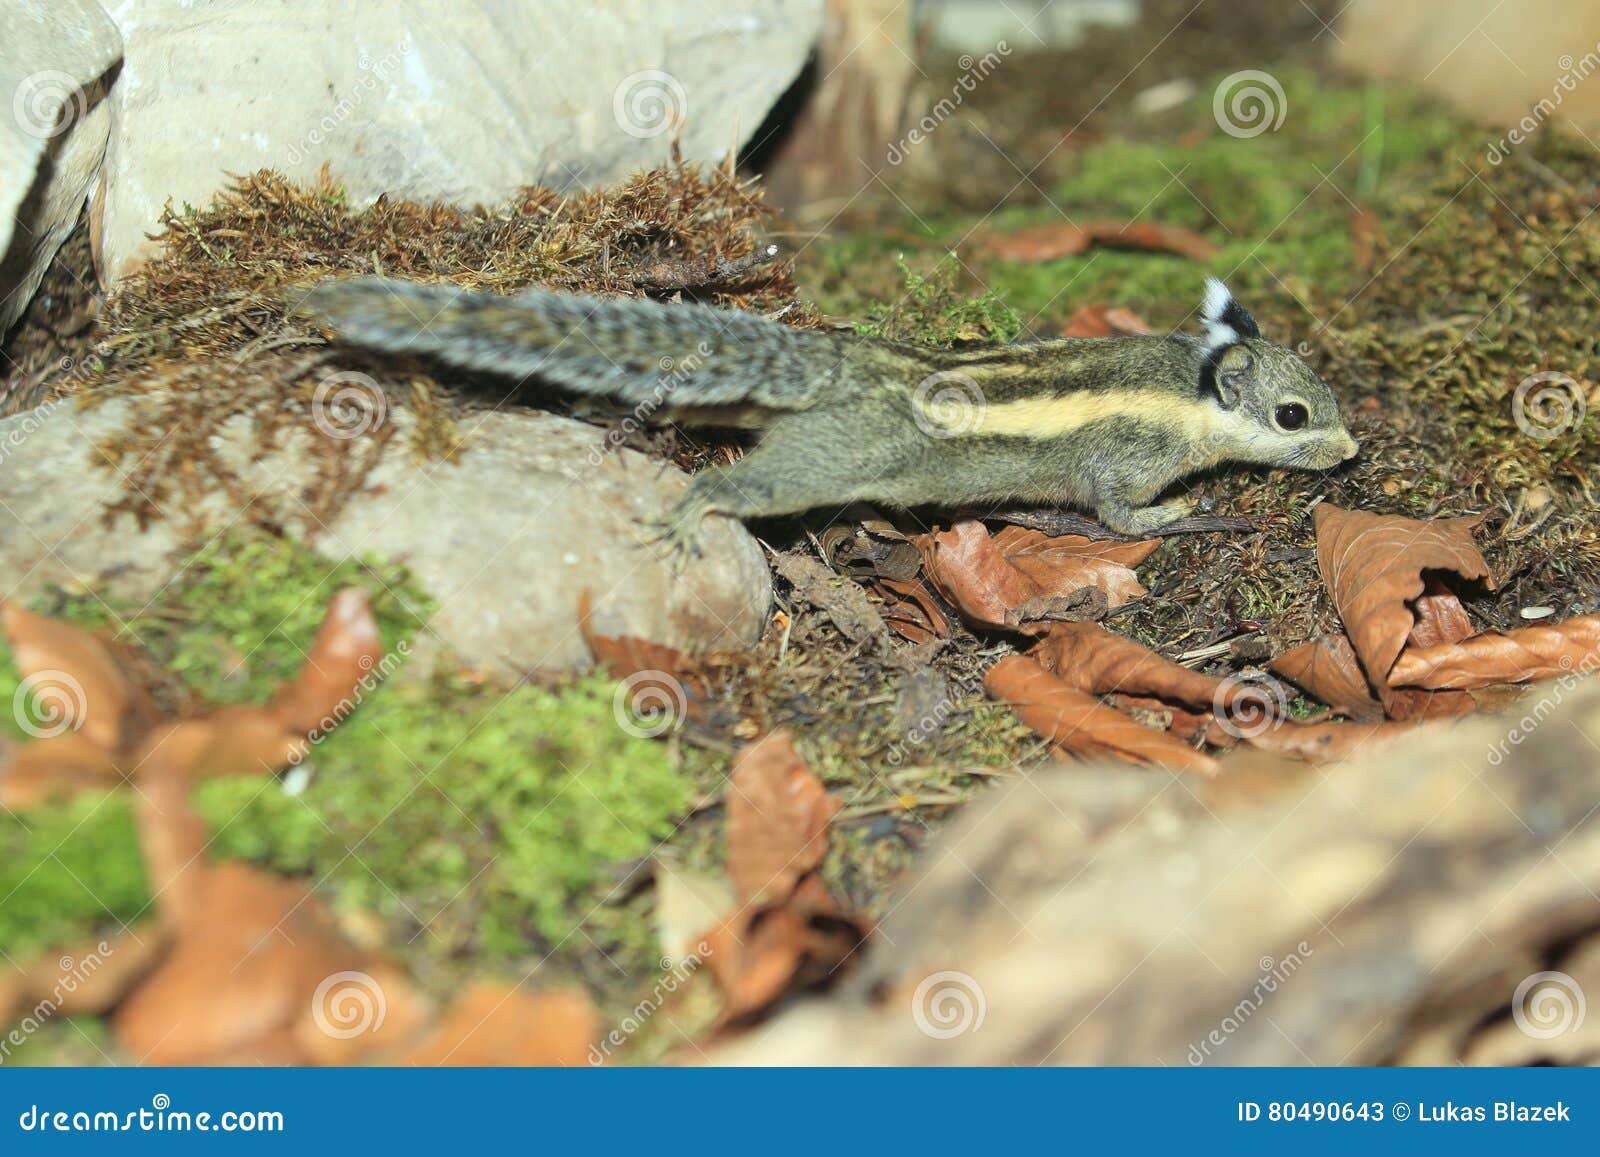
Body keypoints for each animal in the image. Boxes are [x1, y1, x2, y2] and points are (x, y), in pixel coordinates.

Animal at [301, 274, 1358, 549]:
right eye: (1294, 414)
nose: (1353, 451)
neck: (1186, 382)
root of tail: (841, 362)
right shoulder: (1122, 463)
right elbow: (1119, 515)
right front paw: (1185, 513)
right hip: (823, 466)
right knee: (746, 489)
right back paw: (691, 512)